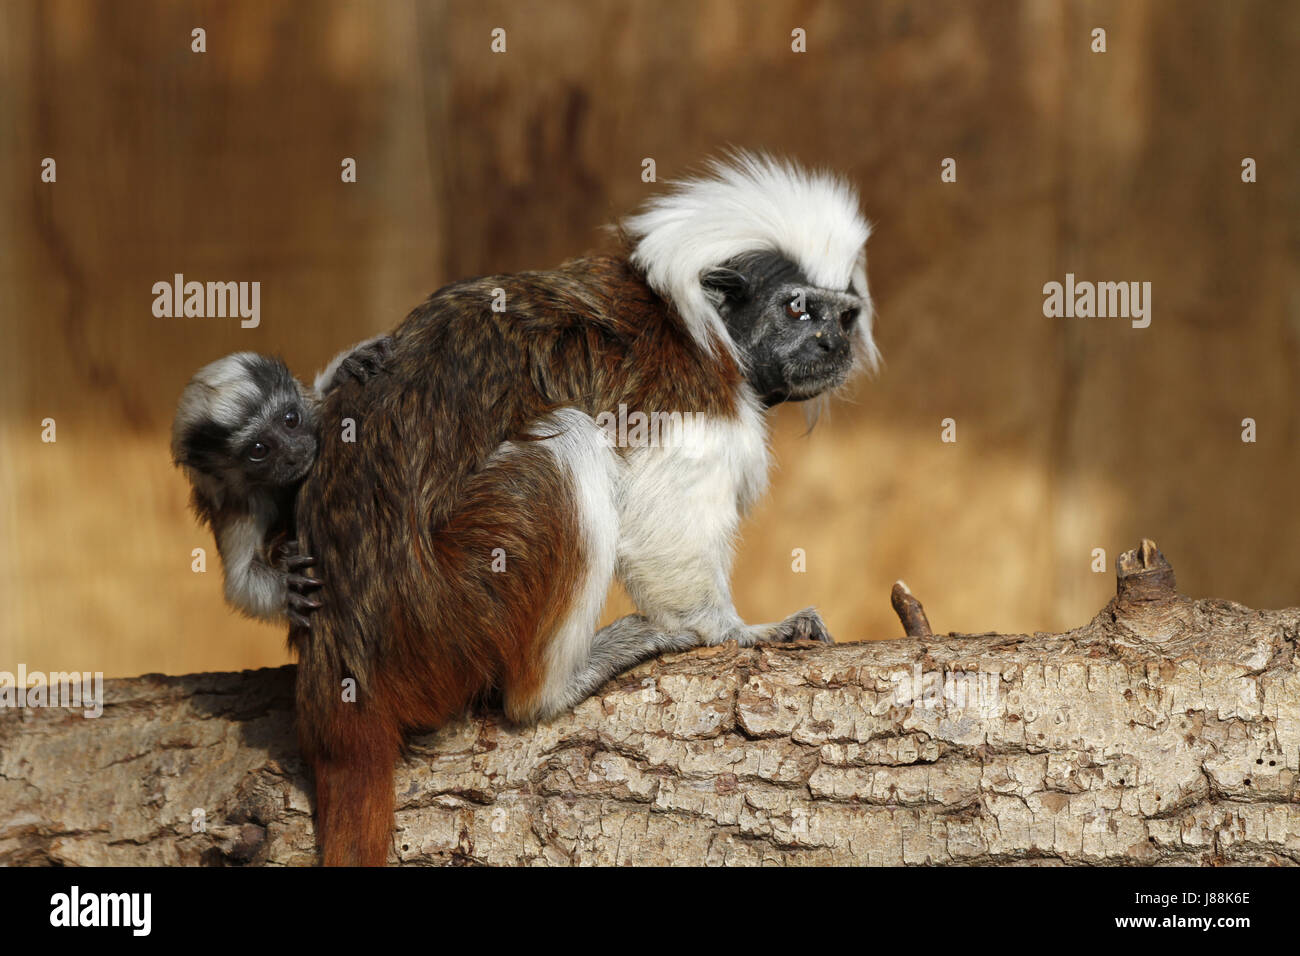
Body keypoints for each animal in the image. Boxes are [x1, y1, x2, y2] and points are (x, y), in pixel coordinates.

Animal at [171, 336, 392, 627]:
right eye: (259, 450)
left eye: (291, 420)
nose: (294, 453)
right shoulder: (241, 505)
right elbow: (240, 581)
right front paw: (288, 586)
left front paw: (345, 369)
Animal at [291, 151, 877, 865]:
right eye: (797, 310)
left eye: (842, 319)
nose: (832, 346)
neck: (698, 325)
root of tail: (339, 674)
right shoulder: (684, 391)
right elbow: (665, 521)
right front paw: (739, 631)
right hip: (448, 609)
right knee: (565, 444)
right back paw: (552, 688)